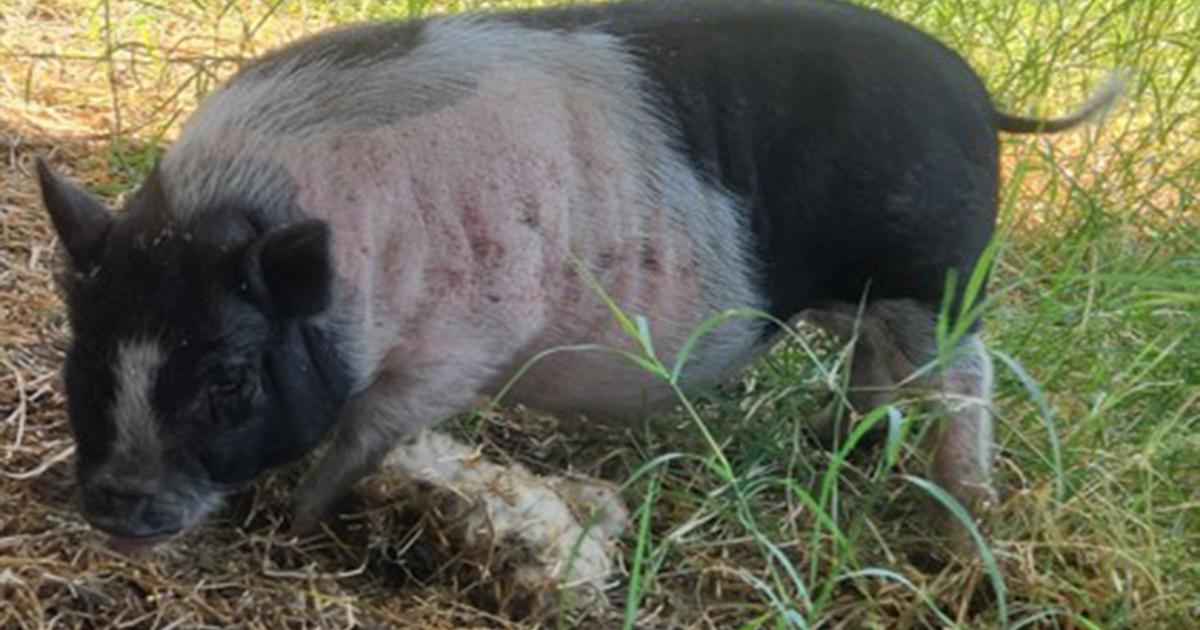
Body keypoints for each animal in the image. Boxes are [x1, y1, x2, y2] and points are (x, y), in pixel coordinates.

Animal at [36, 0, 1120, 549]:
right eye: (86, 357)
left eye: (229, 378)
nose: (119, 504)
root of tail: (981, 98)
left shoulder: (462, 341)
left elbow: (367, 429)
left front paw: (297, 517)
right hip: (874, 297)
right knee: (879, 366)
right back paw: (833, 448)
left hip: (936, 275)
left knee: (966, 377)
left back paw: (967, 517)